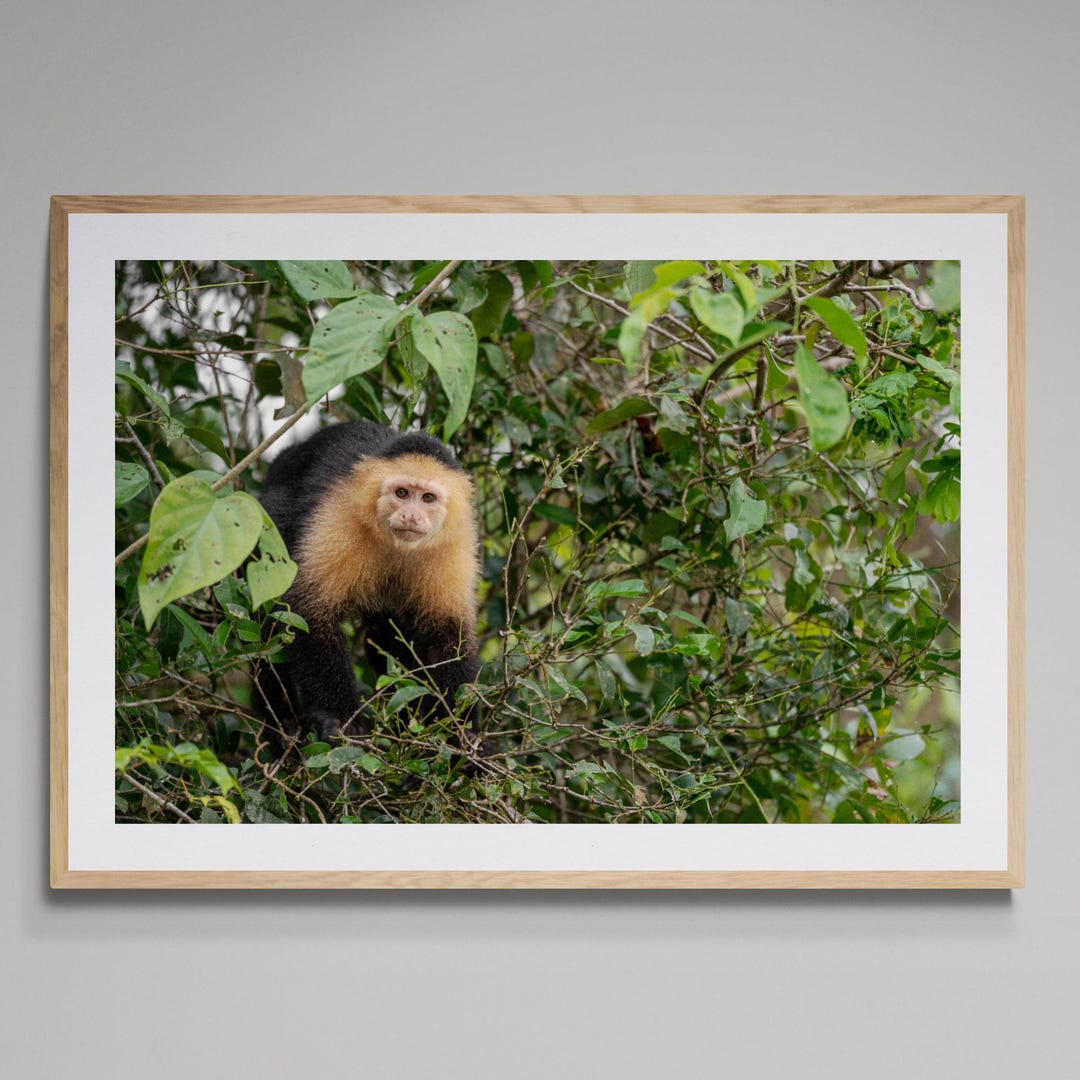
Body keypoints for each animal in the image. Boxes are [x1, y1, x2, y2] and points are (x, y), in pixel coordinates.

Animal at [252, 420, 480, 744]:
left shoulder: (453, 541)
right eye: (401, 493)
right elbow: (306, 611)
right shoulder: (340, 517)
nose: (411, 516)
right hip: (266, 514)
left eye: (427, 498)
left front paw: (460, 732)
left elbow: (449, 635)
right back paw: (280, 717)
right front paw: (340, 716)